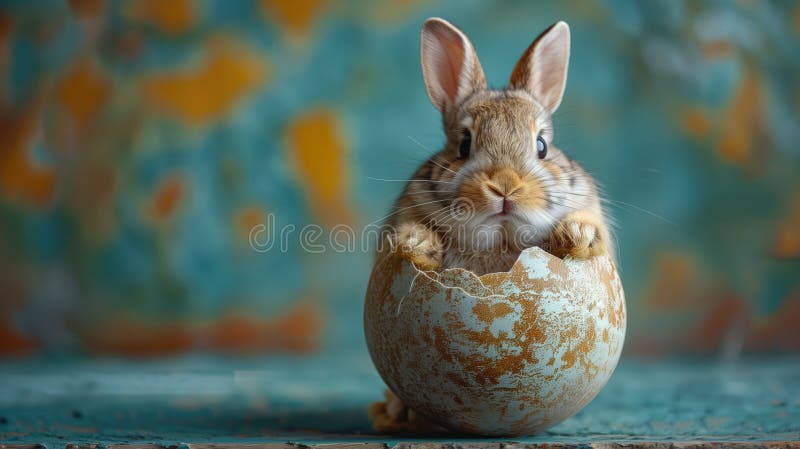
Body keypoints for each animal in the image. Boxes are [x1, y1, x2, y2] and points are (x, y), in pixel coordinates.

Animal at [371, 18, 612, 433]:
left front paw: (576, 235)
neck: (500, 240)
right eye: (464, 145)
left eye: (542, 146)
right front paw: (418, 244)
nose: (505, 185)